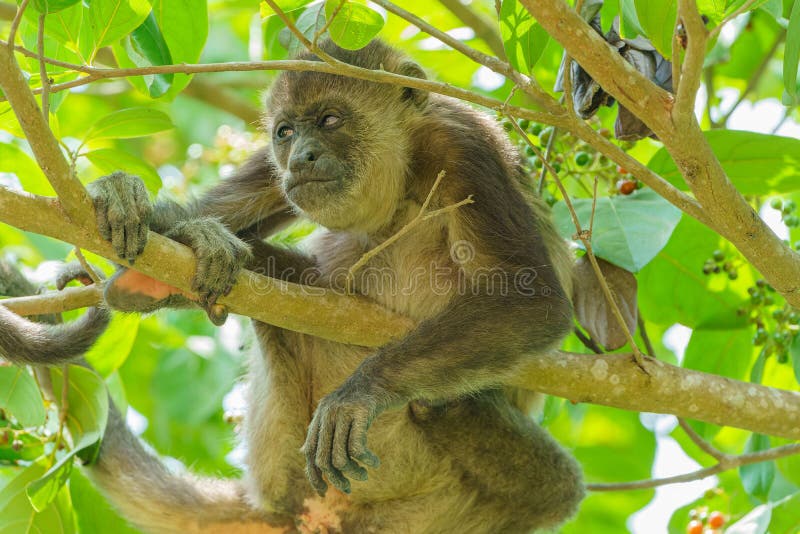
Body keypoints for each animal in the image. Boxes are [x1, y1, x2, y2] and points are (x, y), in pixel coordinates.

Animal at [0, 39, 584, 533]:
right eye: (285, 132)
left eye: (330, 120)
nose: (302, 155)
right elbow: (221, 215)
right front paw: (141, 206)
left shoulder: (463, 145)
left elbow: (533, 300)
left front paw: (360, 392)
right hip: (279, 459)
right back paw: (157, 280)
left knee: (551, 481)